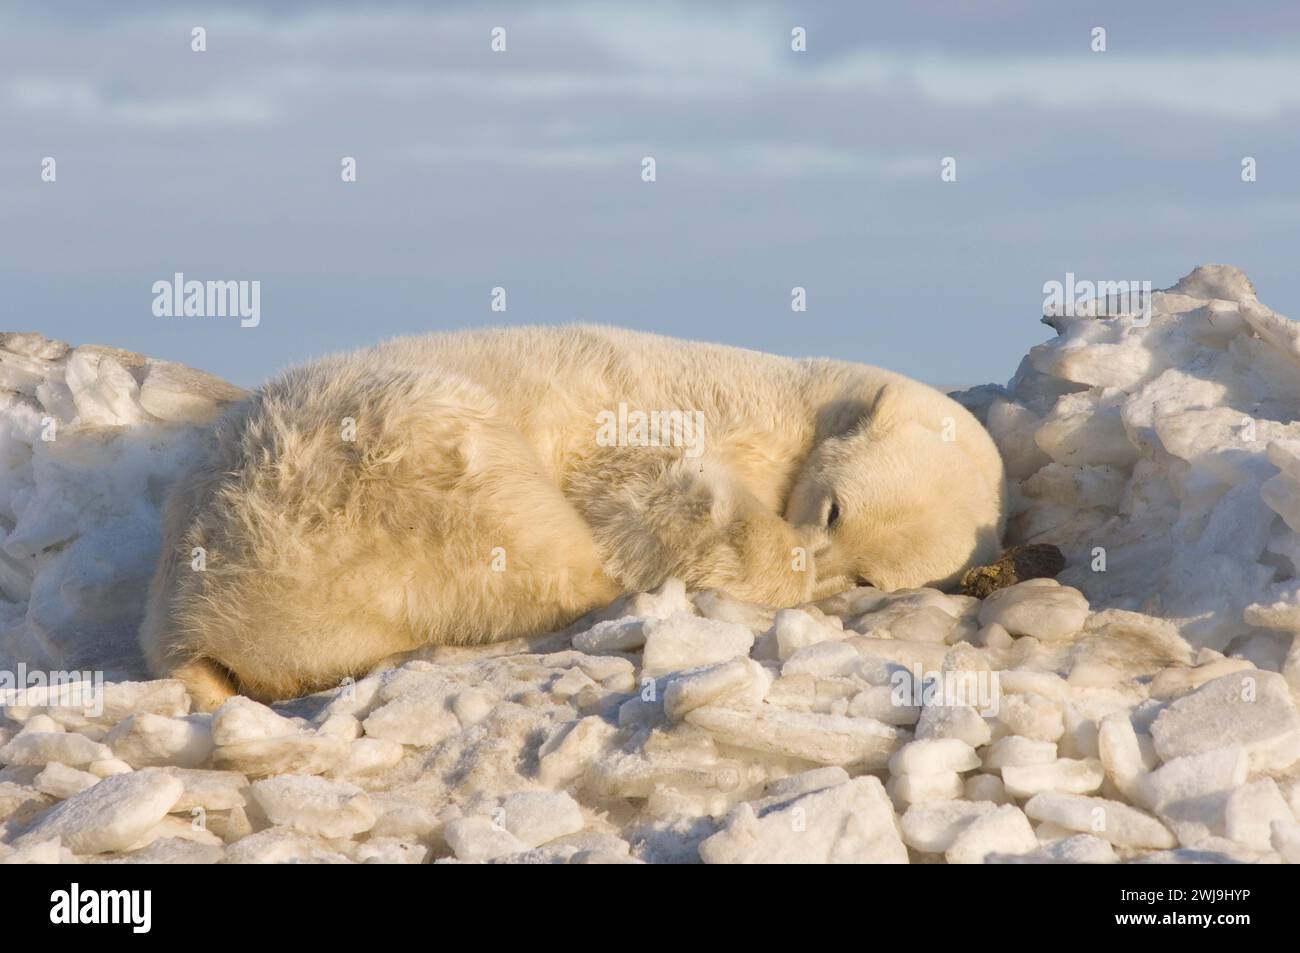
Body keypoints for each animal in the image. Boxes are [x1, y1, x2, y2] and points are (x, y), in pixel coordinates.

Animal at [139, 325, 1006, 709]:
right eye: (833, 507)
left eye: (868, 574)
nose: (819, 555)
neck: (792, 401)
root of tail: (186, 616)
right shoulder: (673, 408)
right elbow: (642, 484)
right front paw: (767, 556)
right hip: (374, 463)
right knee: (520, 530)